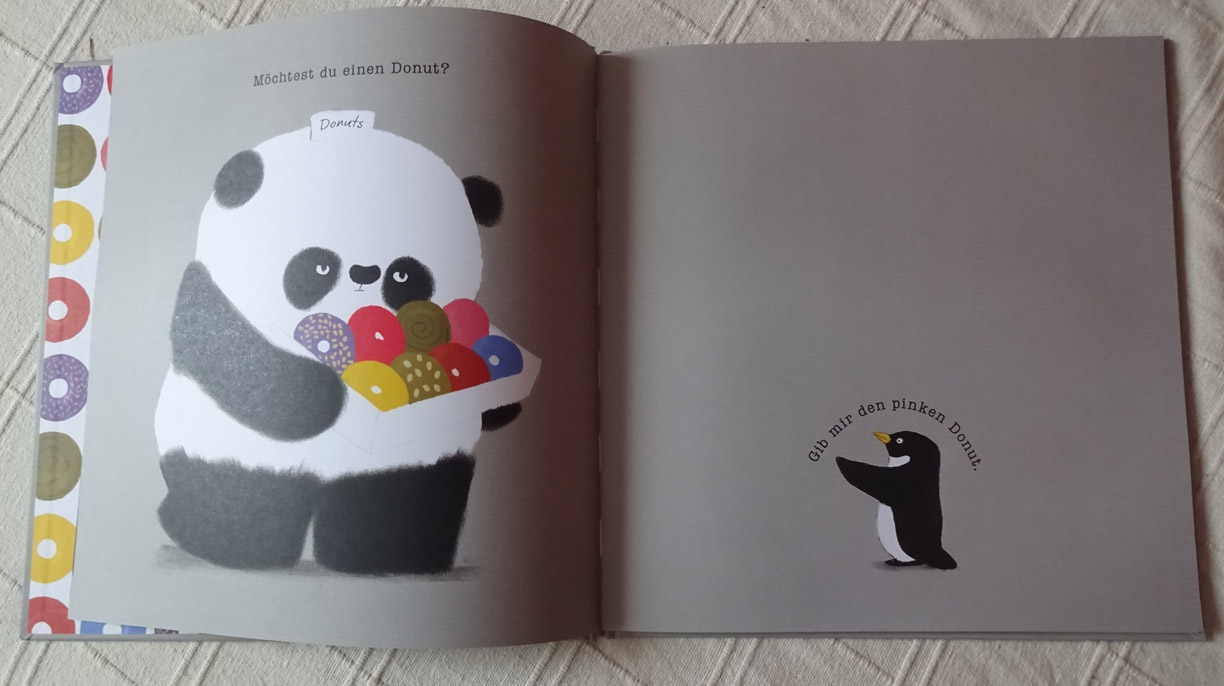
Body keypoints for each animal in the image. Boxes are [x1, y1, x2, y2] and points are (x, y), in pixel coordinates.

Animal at [152, 124, 519, 575]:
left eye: (403, 275)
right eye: (319, 266)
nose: (365, 272)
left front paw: (504, 406)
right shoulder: (209, 294)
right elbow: (229, 353)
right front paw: (318, 395)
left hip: (412, 459)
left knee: (402, 493)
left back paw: (391, 556)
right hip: (221, 444)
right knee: (234, 487)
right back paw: (213, 538)